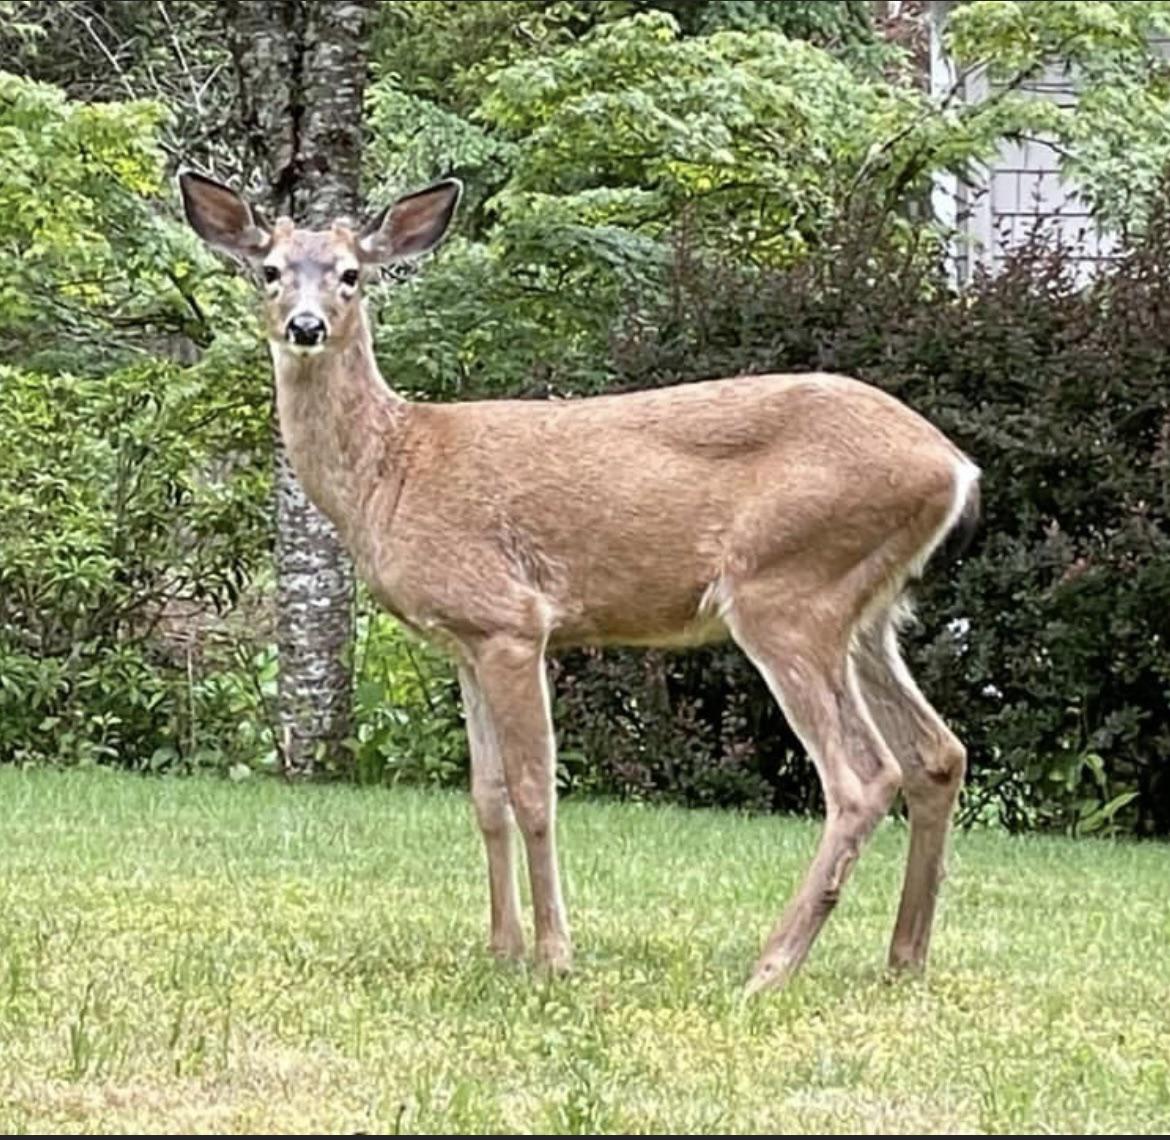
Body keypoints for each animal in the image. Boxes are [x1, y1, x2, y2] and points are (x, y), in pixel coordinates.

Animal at [178, 169, 981, 996]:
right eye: (271, 272)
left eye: (350, 275)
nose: (305, 326)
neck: (392, 470)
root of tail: (955, 467)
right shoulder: (462, 641)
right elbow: (486, 796)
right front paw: (500, 949)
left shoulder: (511, 618)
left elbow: (535, 791)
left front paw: (554, 956)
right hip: (867, 611)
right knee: (939, 754)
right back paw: (903, 959)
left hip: (788, 589)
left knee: (863, 776)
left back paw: (771, 966)